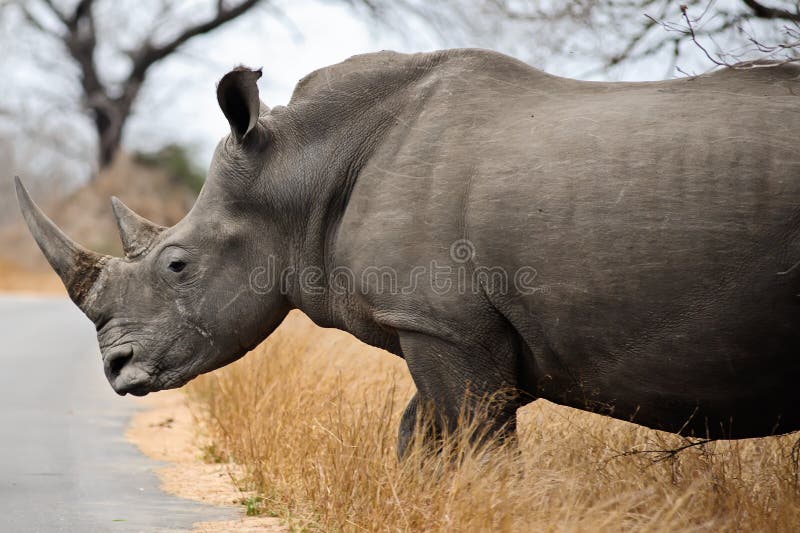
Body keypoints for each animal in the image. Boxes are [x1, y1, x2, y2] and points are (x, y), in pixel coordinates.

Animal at [15, 49, 800, 457]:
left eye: (176, 265)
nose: (117, 369)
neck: (299, 167)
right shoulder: (454, 328)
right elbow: (419, 440)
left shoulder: (445, 324)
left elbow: (473, 451)